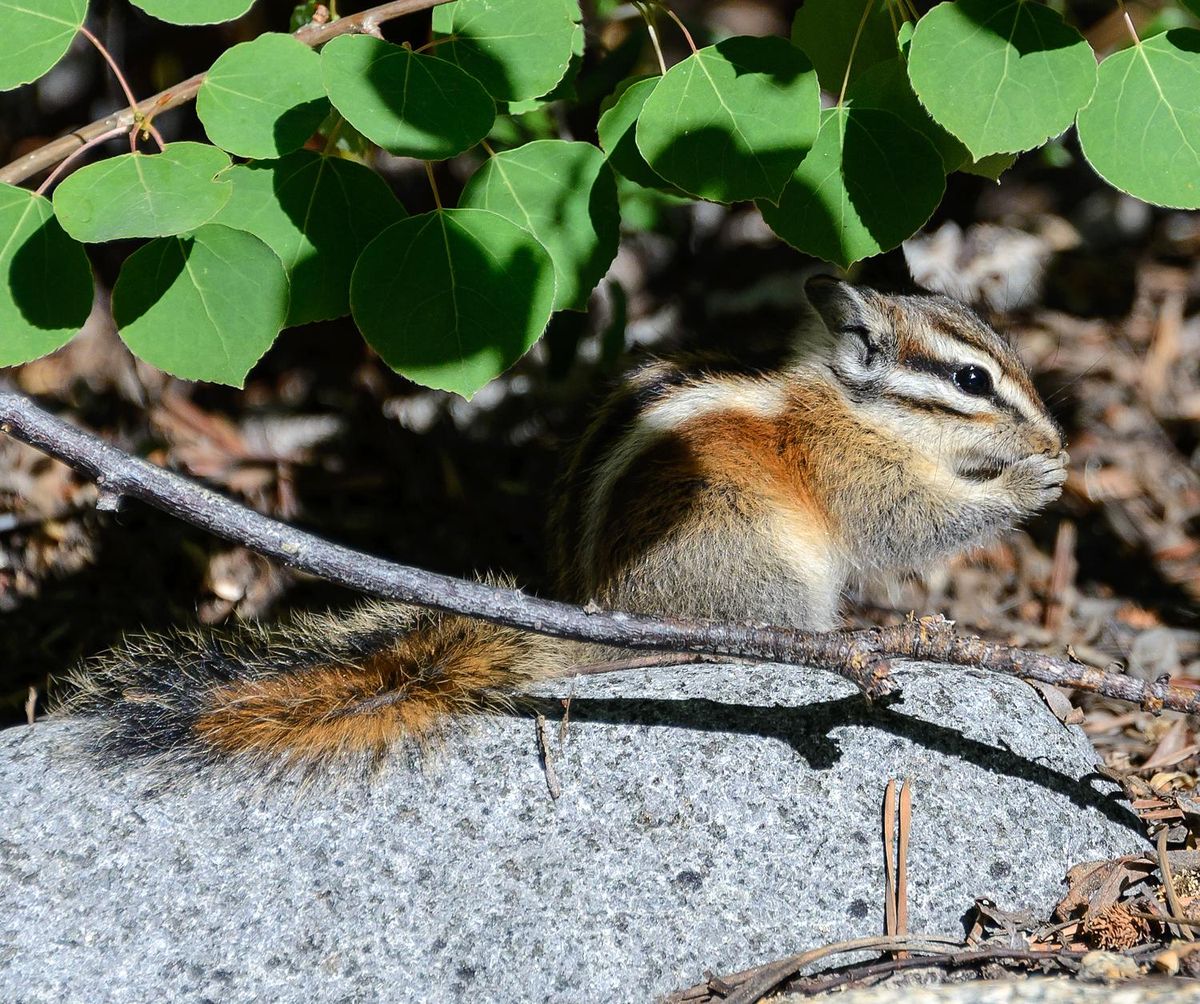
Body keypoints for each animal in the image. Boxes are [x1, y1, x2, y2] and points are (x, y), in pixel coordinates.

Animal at [59, 276, 1067, 772]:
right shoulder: (853, 470)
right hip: (757, 562)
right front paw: (1027, 483)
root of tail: (593, 620)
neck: (852, 405)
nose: (1054, 433)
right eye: (971, 380)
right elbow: (908, 523)